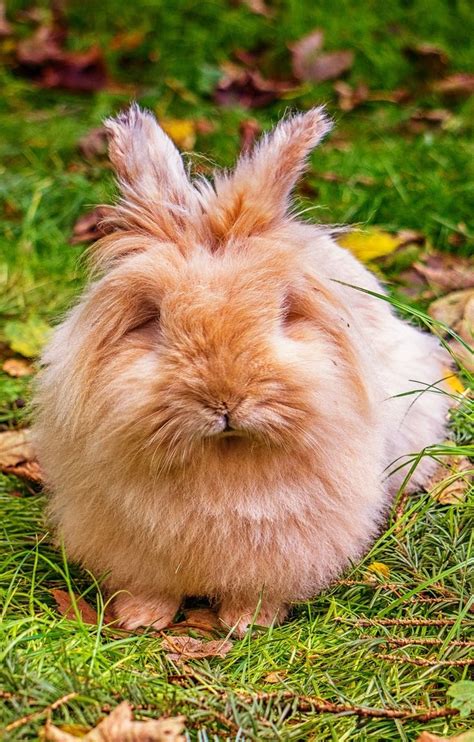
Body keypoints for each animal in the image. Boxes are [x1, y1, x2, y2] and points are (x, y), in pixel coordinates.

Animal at [34, 105, 451, 636]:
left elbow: (256, 588)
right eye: (154, 319)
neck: (223, 459)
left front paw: (247, 624)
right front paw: (142, 619)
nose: (225, 400)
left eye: (283, 311)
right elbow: (151, 585)